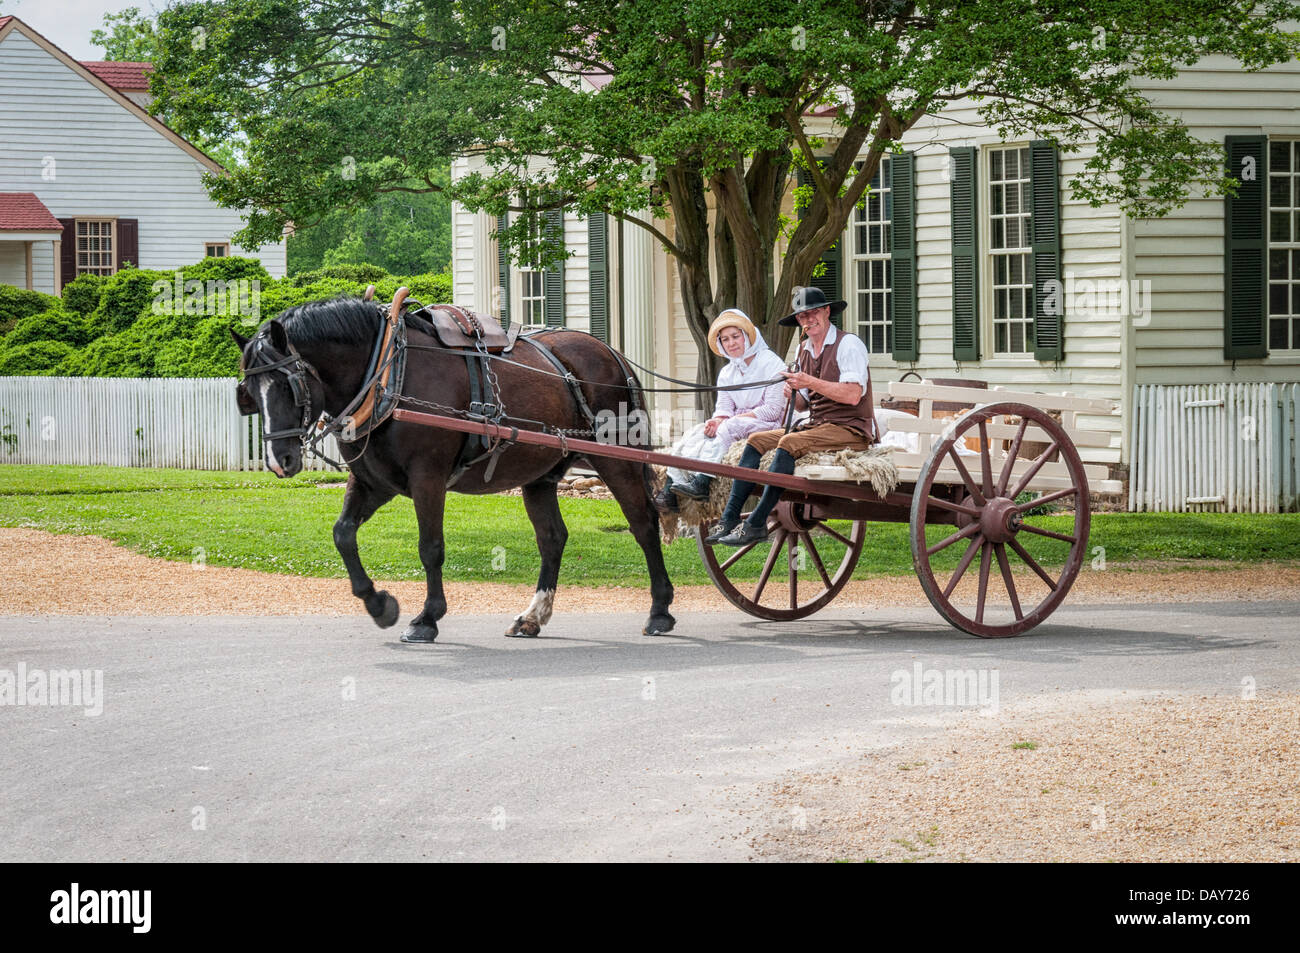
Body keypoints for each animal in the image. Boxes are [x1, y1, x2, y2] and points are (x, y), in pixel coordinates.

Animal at [230, 293, 676, 643]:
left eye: (287, 384)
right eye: (248, 391)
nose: (279, 461)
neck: (387, 372)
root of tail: (611, 352)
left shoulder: (427, 477)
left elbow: (430, 547)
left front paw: (427, 618)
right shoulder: (374, 481)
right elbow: (342, 534)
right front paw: (379, 604)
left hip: (616, 459)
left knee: (642, 524)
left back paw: (659, 610)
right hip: (540, 473)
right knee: (552, 538)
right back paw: (533, 616)